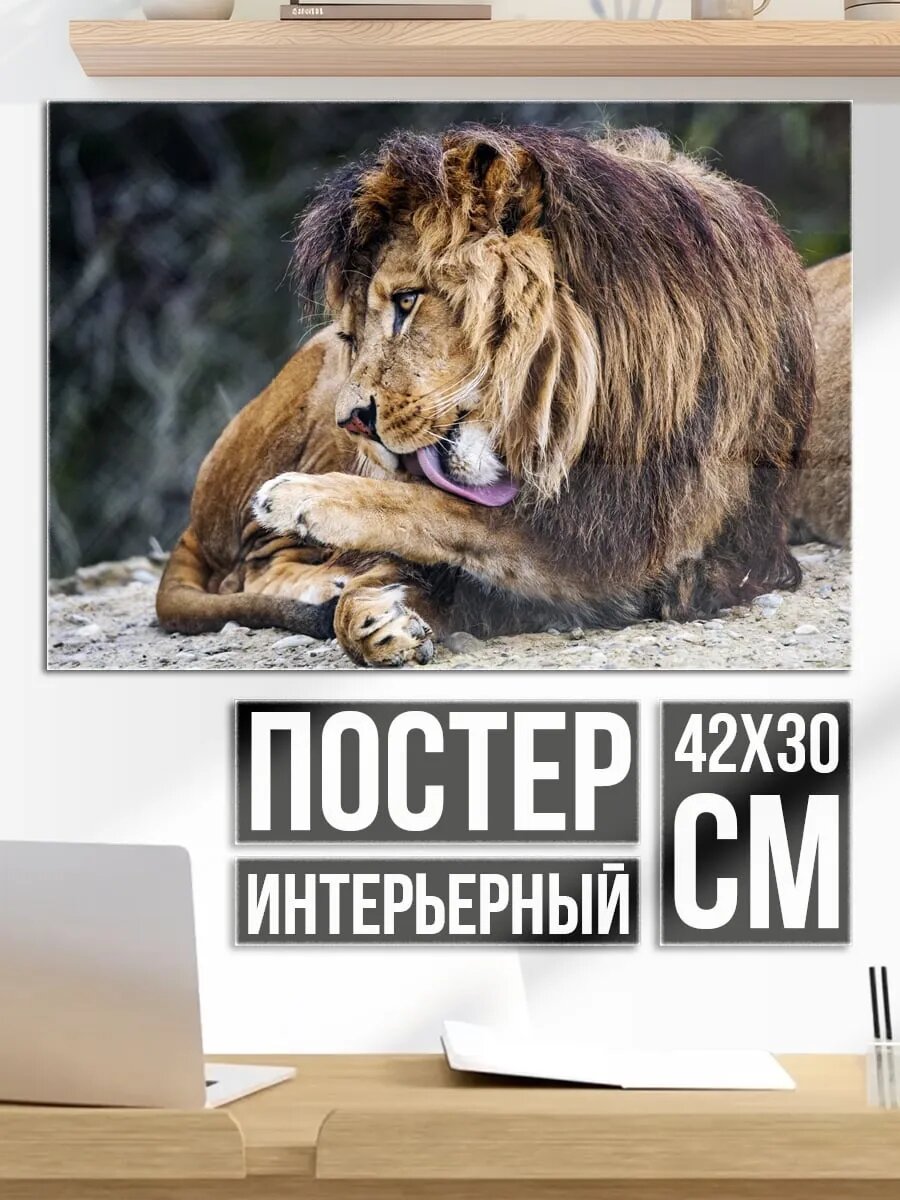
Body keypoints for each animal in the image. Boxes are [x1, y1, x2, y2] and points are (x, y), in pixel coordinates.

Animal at [157, 123, 823, 668]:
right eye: (351, 334)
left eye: (407, 301)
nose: (355, 422)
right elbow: (434, 519)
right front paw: (371, 608)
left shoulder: (624, 542)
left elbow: (443, 513)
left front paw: (313, 505)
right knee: (251, 571)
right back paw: (330, 583)